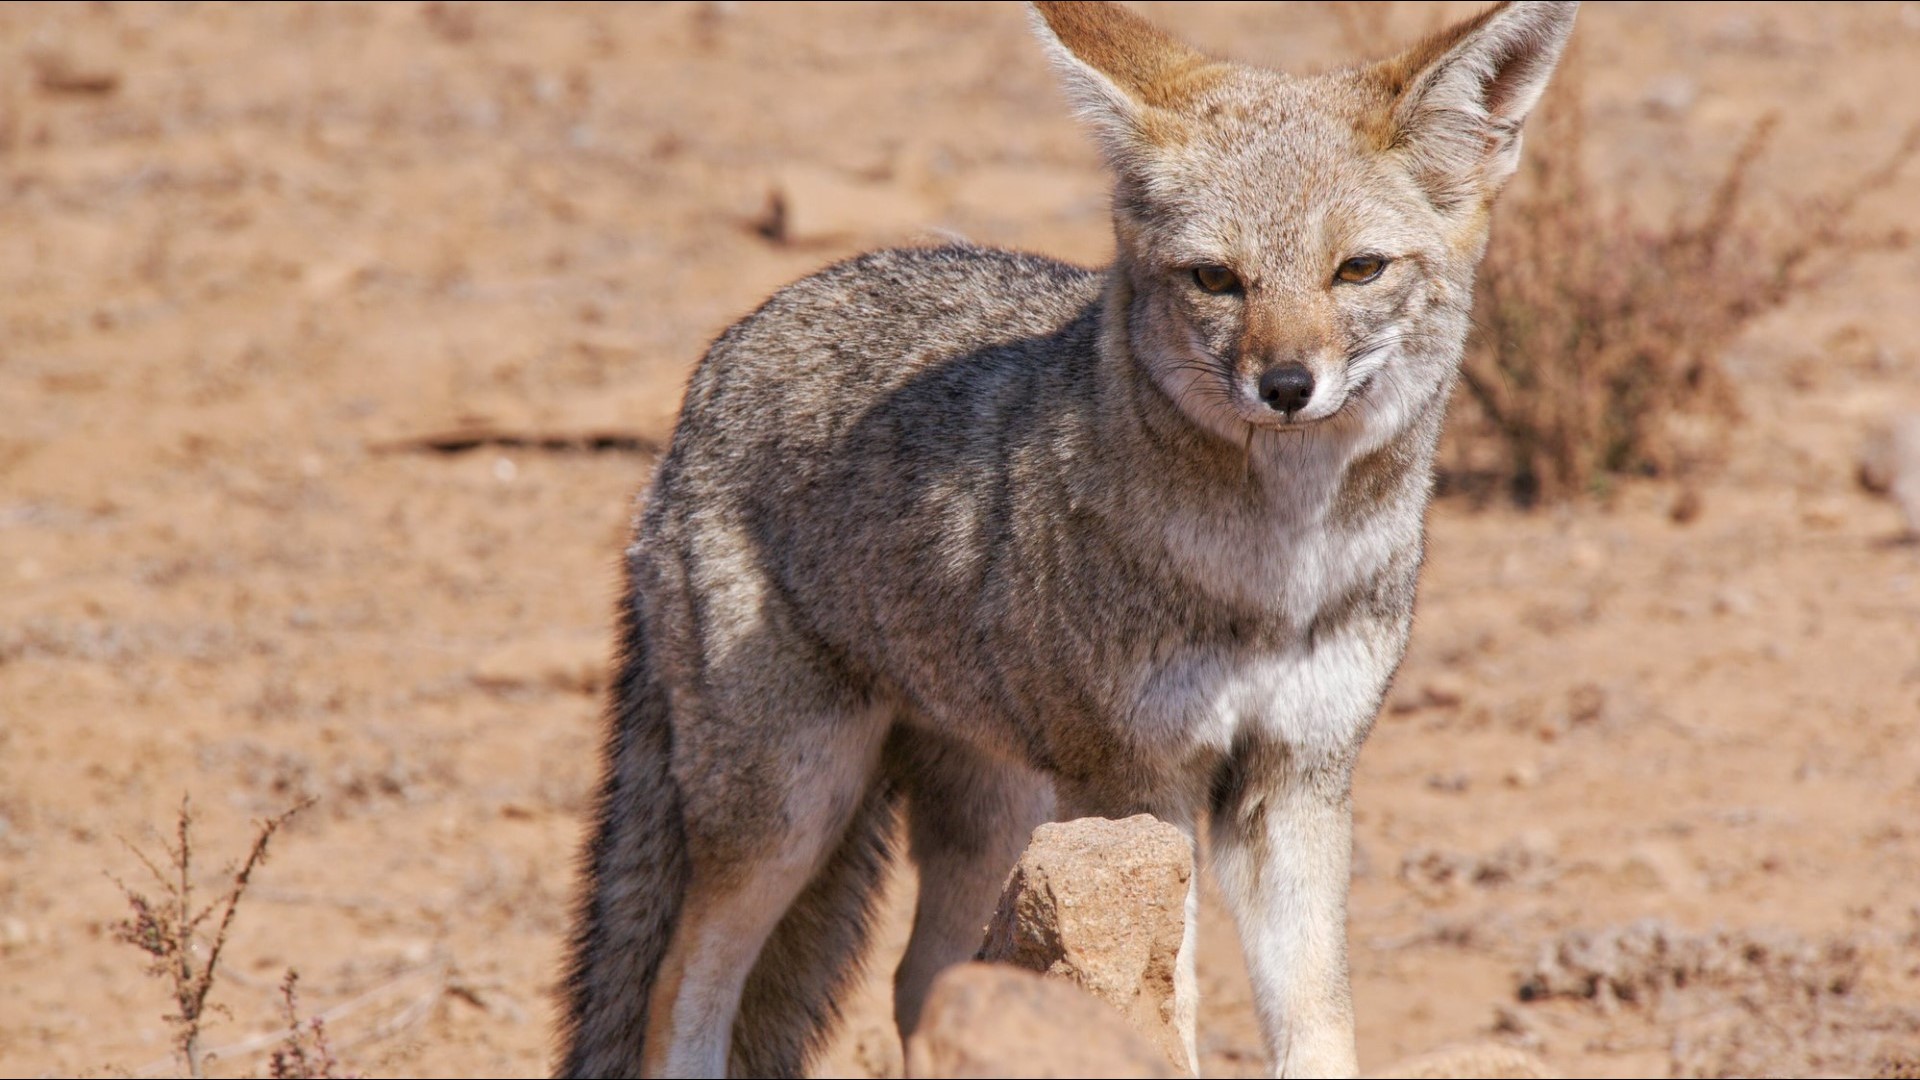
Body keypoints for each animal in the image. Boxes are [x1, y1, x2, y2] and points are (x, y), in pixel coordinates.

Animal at [557, 2, 1576, 1077]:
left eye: (1359, 269)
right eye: (1216, 279)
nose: (1287, 386)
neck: (1275, 571)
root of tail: (721, 355)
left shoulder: (1296, 780)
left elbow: (1317, 1021)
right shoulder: (1135, 787)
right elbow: (1163, 1004)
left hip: (998, 818)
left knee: (924, 982)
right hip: (797, 811)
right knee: (679, 991)